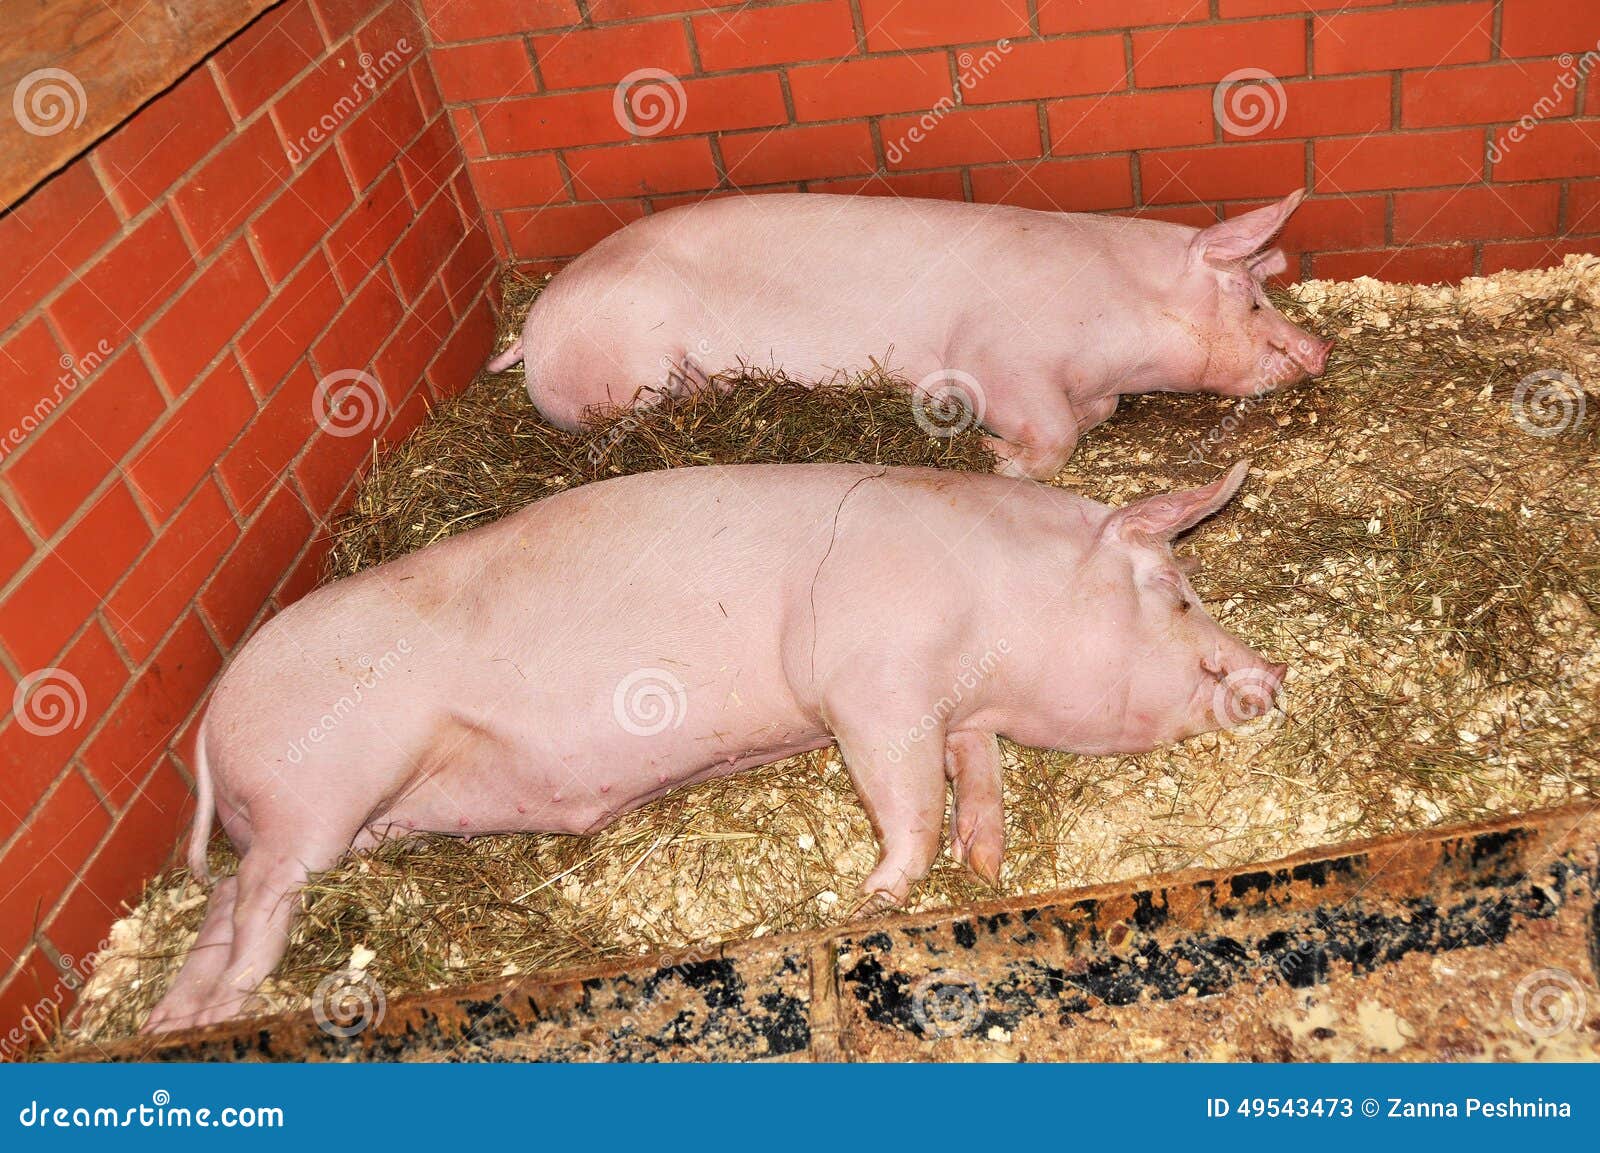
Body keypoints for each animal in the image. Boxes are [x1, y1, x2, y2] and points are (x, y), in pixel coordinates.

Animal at [143, 459, 1285, 1033]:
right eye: (1175, 589)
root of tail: (212, 714)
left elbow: (980, 780)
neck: (997, 601)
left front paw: (988, 868)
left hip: (306, 827)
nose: (1268, 677)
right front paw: (870, 897)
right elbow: (906, 799)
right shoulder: (871, 692)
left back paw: (173, 1019)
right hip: (312, 793)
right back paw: (229, 1008)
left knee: (224, 906)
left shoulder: (958, 715)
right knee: (263, 901)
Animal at [486, 190, 1332, 480]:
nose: (1321, 349)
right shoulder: (994, 355)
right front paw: (993, 456)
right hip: (633, 360)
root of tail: (531, 331)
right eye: (1252, 300)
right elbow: (1057, 433)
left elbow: (1096, 416)